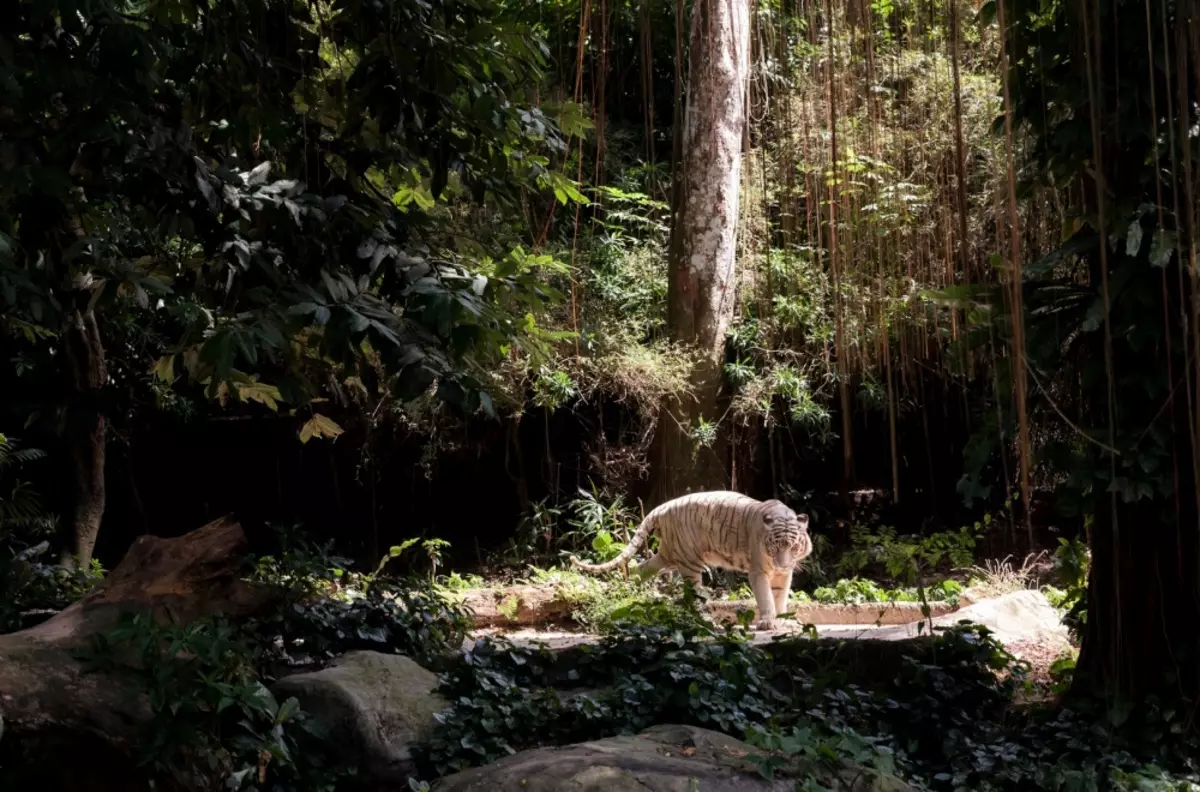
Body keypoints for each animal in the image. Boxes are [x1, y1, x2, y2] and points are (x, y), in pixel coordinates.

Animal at [566, 492, 811, 628]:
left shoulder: (784, 574)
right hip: (689, 561)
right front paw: (768, 621)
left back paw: (628, 589)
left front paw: (783, 618)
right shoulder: (758, 570)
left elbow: (779, 595)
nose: (782, 563)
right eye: (775, 547)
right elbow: (766, 597)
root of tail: (664, 506)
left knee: (640, 568)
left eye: (793, 547)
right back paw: (705, 621)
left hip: (668, 555)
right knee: (693, 594)